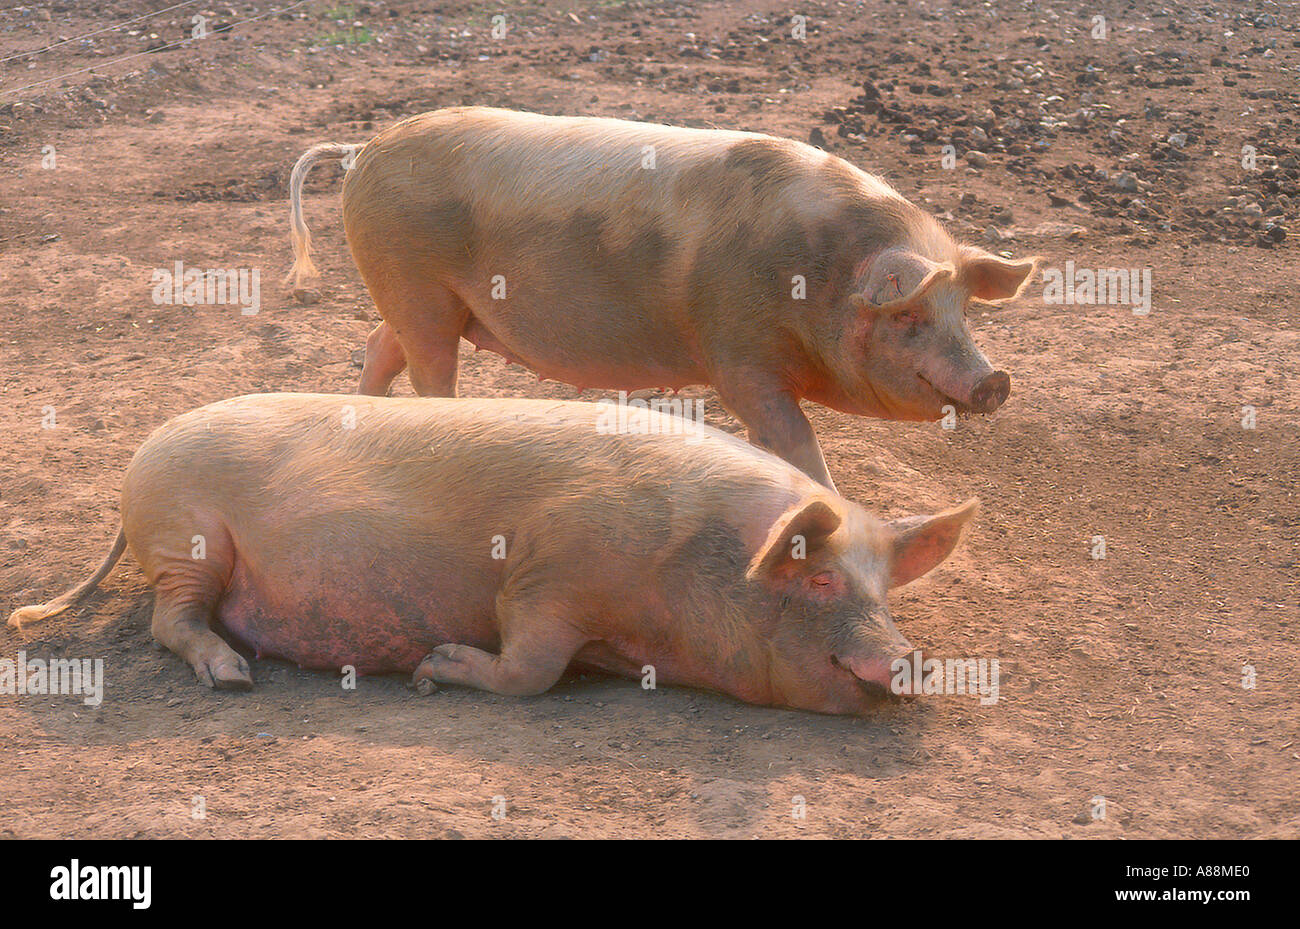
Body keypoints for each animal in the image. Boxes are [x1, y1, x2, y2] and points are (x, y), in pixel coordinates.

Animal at [8, 394, 978, 716]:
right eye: (818, 576)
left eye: (885, 587)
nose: (909, 660)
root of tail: (143, 451)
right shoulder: (544, 582)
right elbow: (529, 669)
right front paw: (431, 672)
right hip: (187, 540)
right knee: (171, 624)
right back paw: (236, 677)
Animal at [285, 107, 1039, 490]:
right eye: (908, 315)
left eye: (963, 312)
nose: (994, 380)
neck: (814, 273)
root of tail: (361, 148)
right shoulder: (737, 355)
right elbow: (793, 438)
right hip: (417, 286)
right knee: (426, 371)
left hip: (422, 298)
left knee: (380, 345)